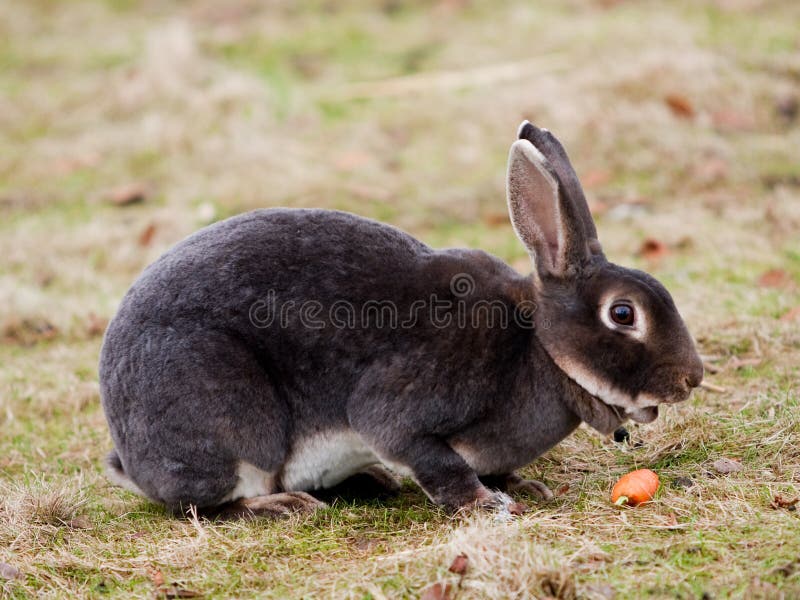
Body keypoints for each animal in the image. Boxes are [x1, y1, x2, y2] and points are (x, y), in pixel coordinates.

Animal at [100, 121, 703, 517]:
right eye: (623, 313)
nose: (692, 378)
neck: (535, 347)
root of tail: (128, 458)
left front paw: (523, 486)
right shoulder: (403, 406)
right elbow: (427, 453)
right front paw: (484, 503)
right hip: (229, 417)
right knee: (206, 502)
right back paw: (283, 505)